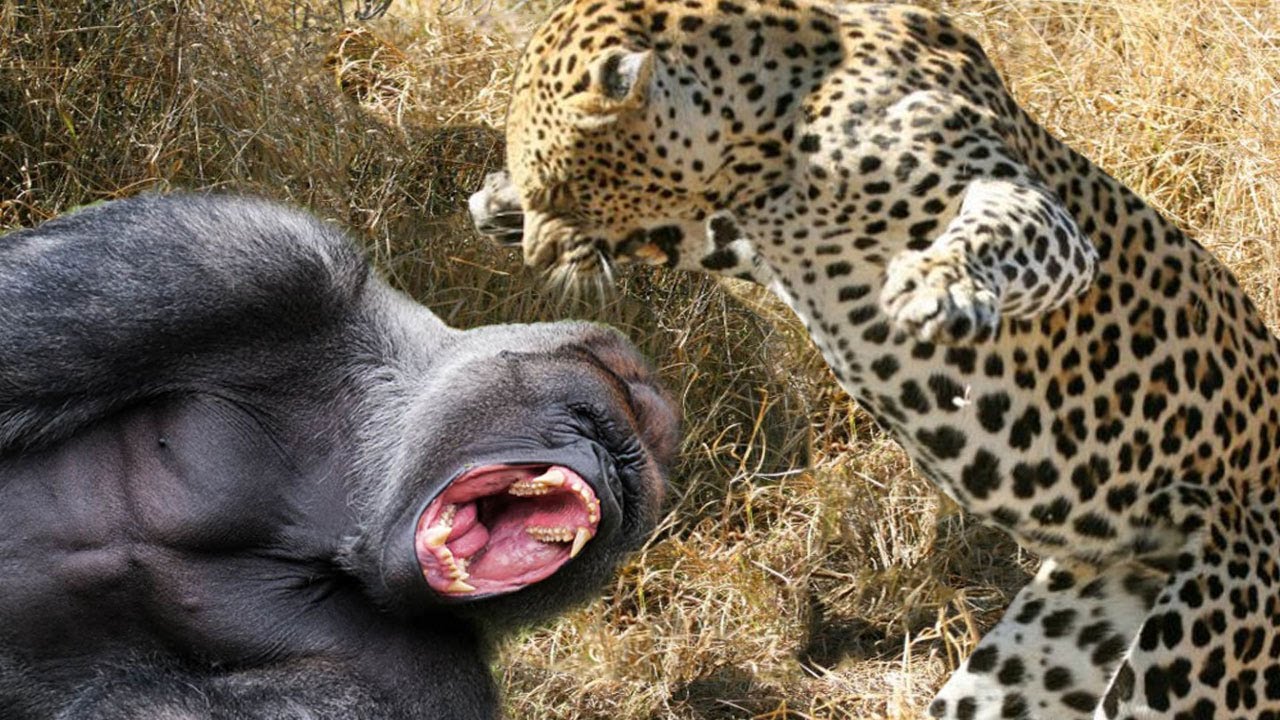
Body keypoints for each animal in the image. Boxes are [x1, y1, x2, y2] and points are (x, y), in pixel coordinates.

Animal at [468, 1, 1280, 717]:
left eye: (557, 178)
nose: (537, 250)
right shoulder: (758, 239)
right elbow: (698, 236)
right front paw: (498, 207)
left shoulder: (1029, 209)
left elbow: (1002, 229)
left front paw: (937, 285)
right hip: (1037, 659)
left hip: (1191, 662)